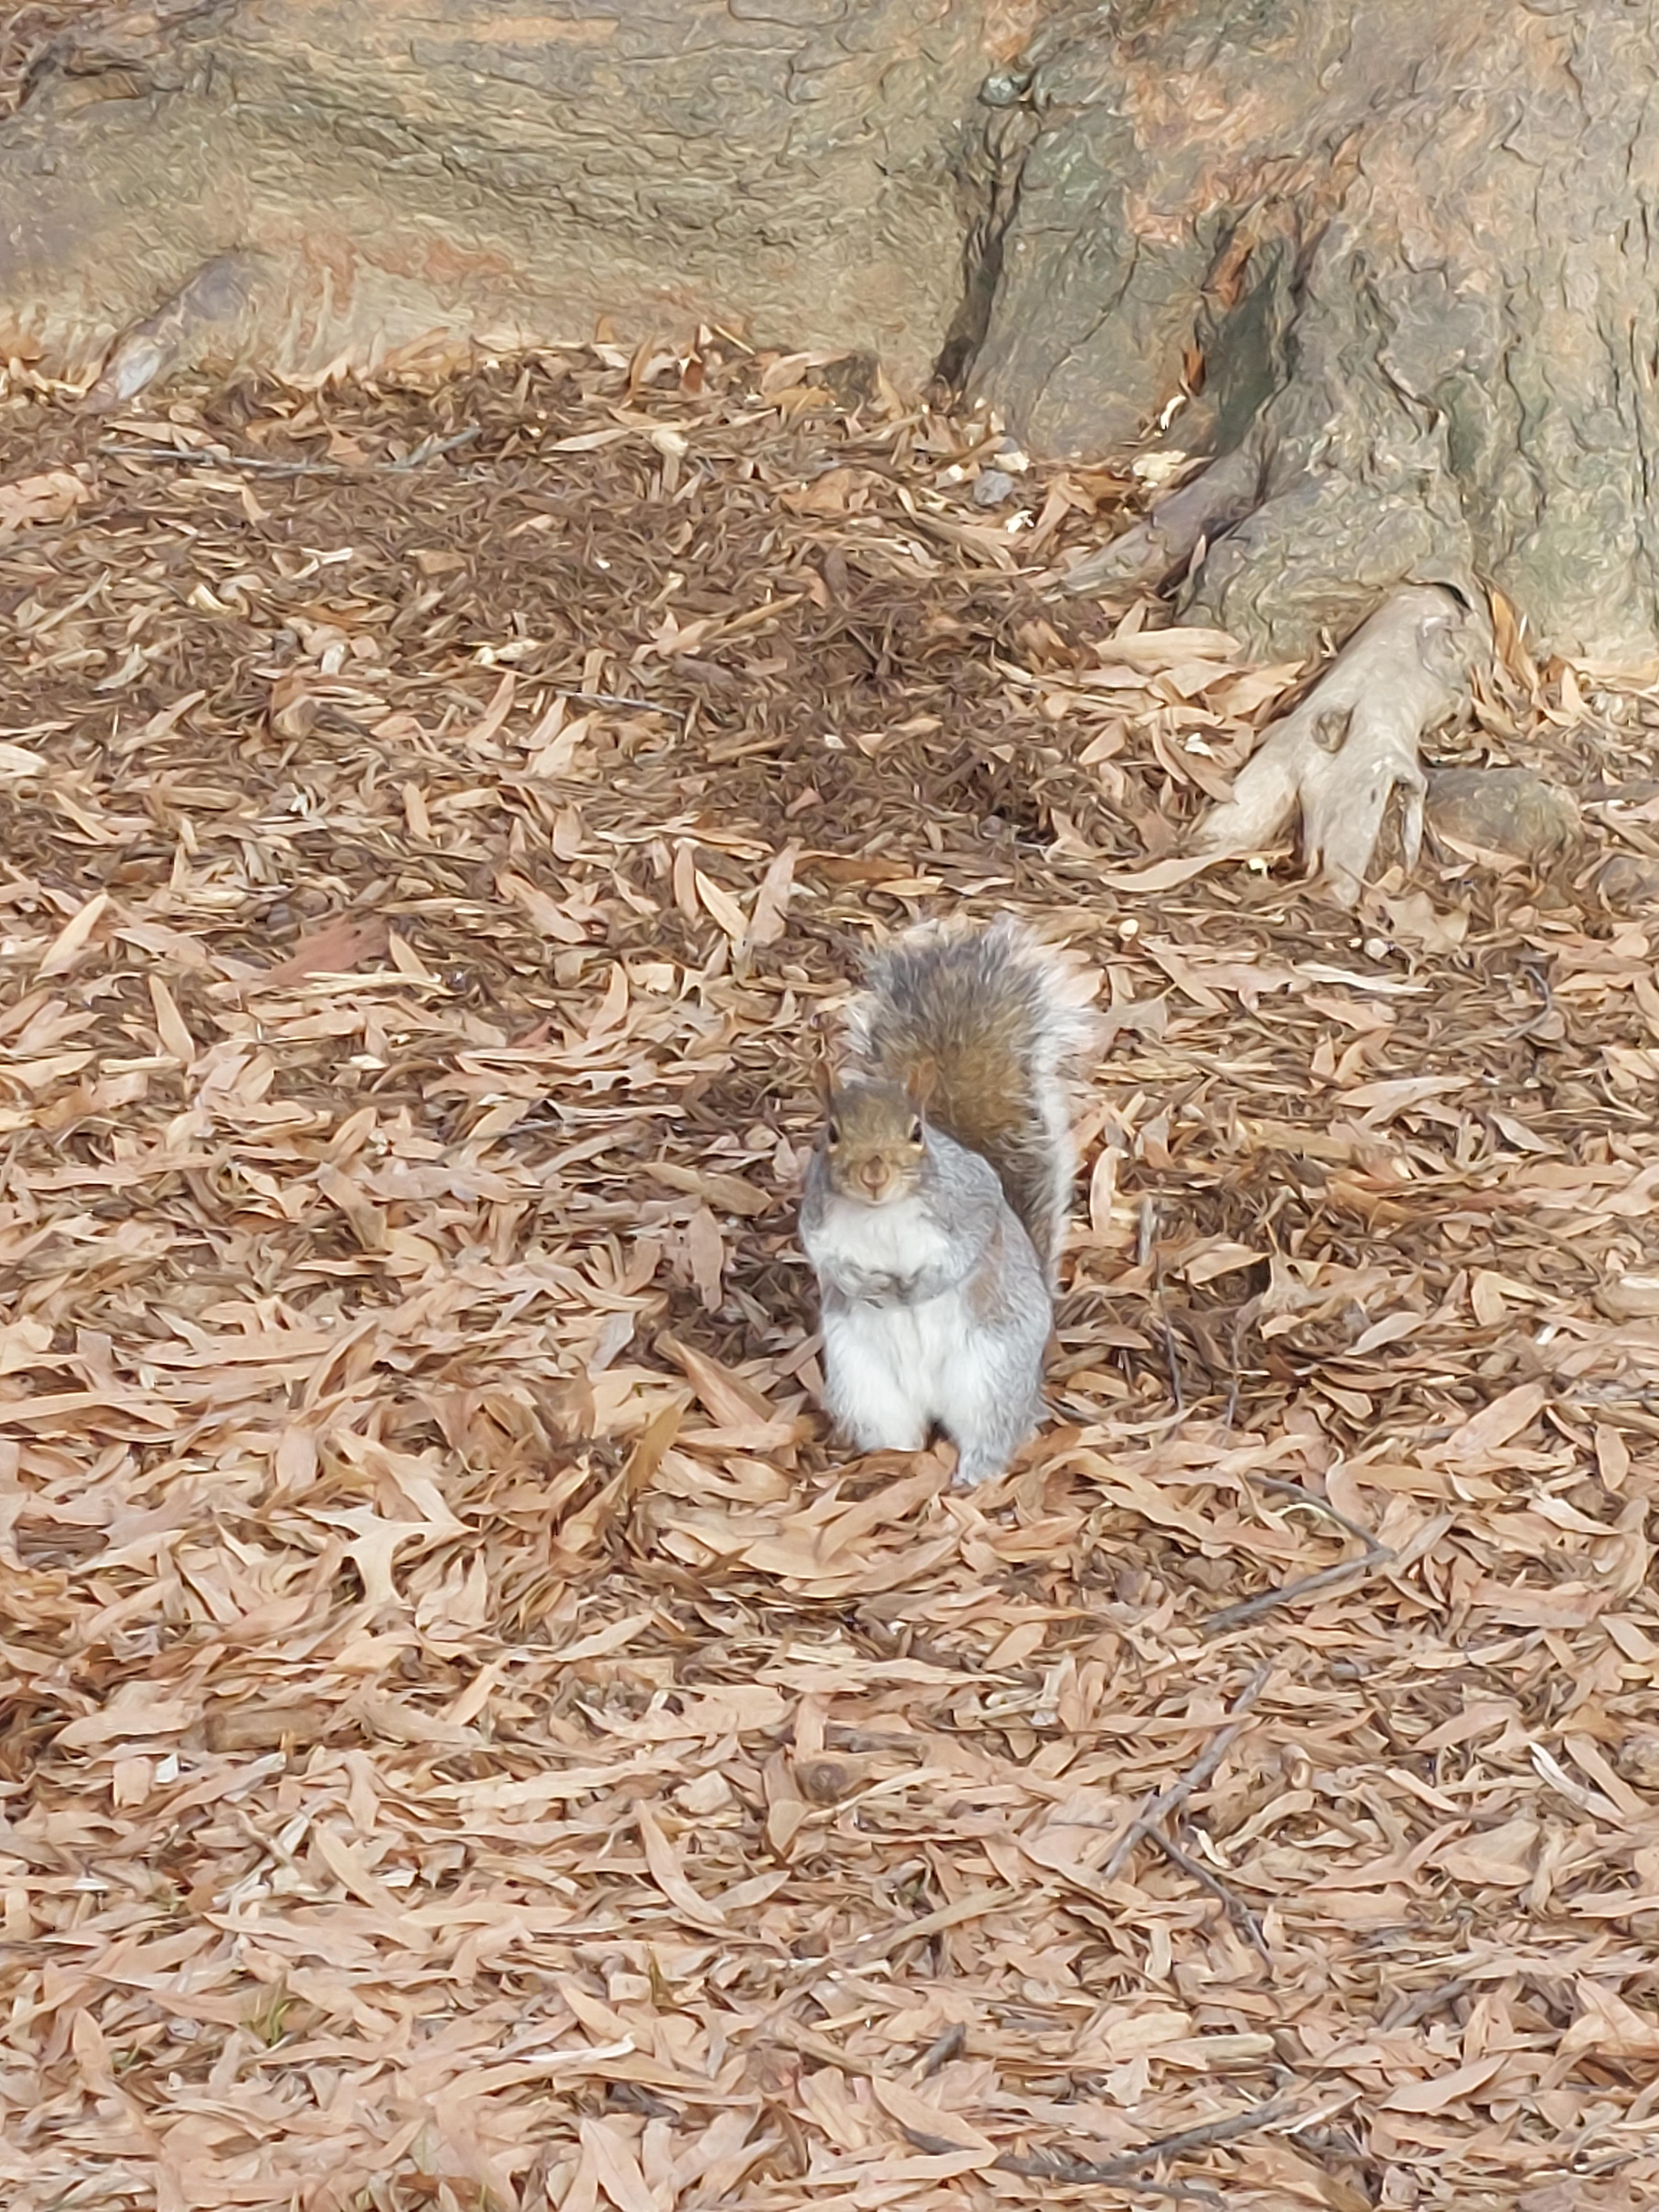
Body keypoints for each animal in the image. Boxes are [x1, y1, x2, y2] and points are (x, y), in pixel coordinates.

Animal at [798, 916, 1083, 1487]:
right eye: (832, 1134)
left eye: (916, 1132)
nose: (875, 1176)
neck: (882, 1213)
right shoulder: (817, 1221)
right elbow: (826, 1261)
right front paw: (867, 1286)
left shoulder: (972, 1200)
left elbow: (969, 1247)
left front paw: (920, 1288)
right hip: (865, 1386)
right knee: (895, 1432)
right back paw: (892, 1466)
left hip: (992, 1374)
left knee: (993, 1430)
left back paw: (974, 1473)